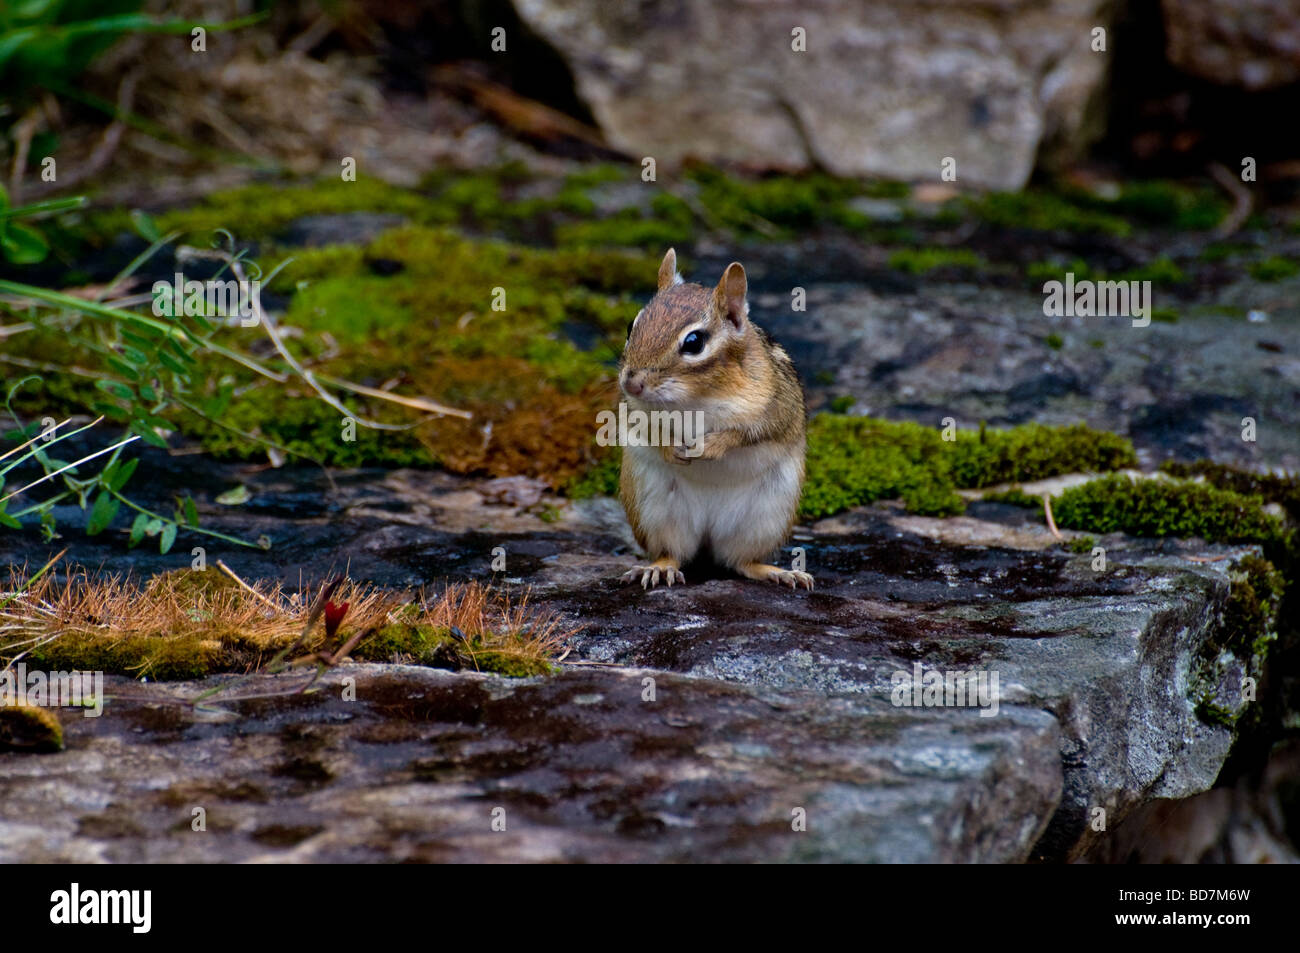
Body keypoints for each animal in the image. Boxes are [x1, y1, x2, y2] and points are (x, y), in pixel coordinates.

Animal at [617, 248, 813, 591]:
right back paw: (657, 569)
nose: (632, 384)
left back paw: (780, 572)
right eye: (631, 326)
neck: (695, 397)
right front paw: (672, 448)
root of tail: (708, 536)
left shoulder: (776, 407)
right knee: (672, 552)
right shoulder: (636, 413)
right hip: (654, 510)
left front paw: (708, 447)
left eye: (694, 342)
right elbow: (651, 431)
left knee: (740, 562)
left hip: (765, 517)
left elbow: (748, 433)